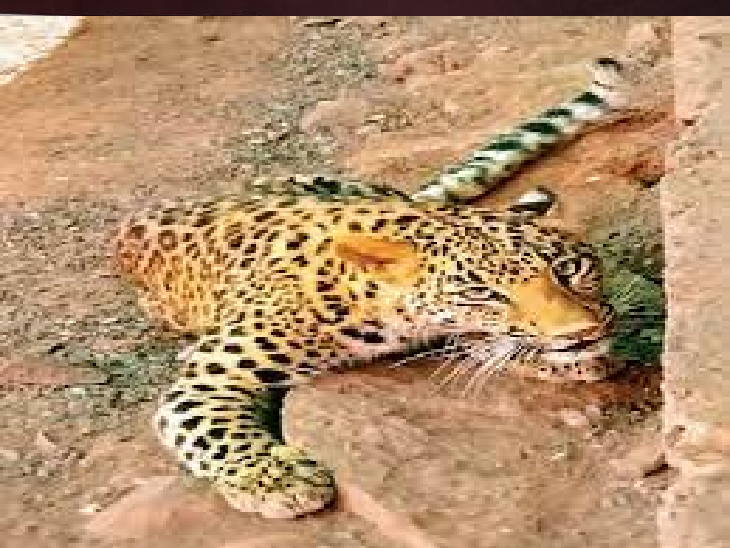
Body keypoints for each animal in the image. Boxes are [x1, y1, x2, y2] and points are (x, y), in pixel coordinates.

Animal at [112, 57, 631, 519]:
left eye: (569, 269)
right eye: (486, 294)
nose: (580, 335)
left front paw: (569, 355)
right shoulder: (213, 375)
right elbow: (208, 426)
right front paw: (277, 479)